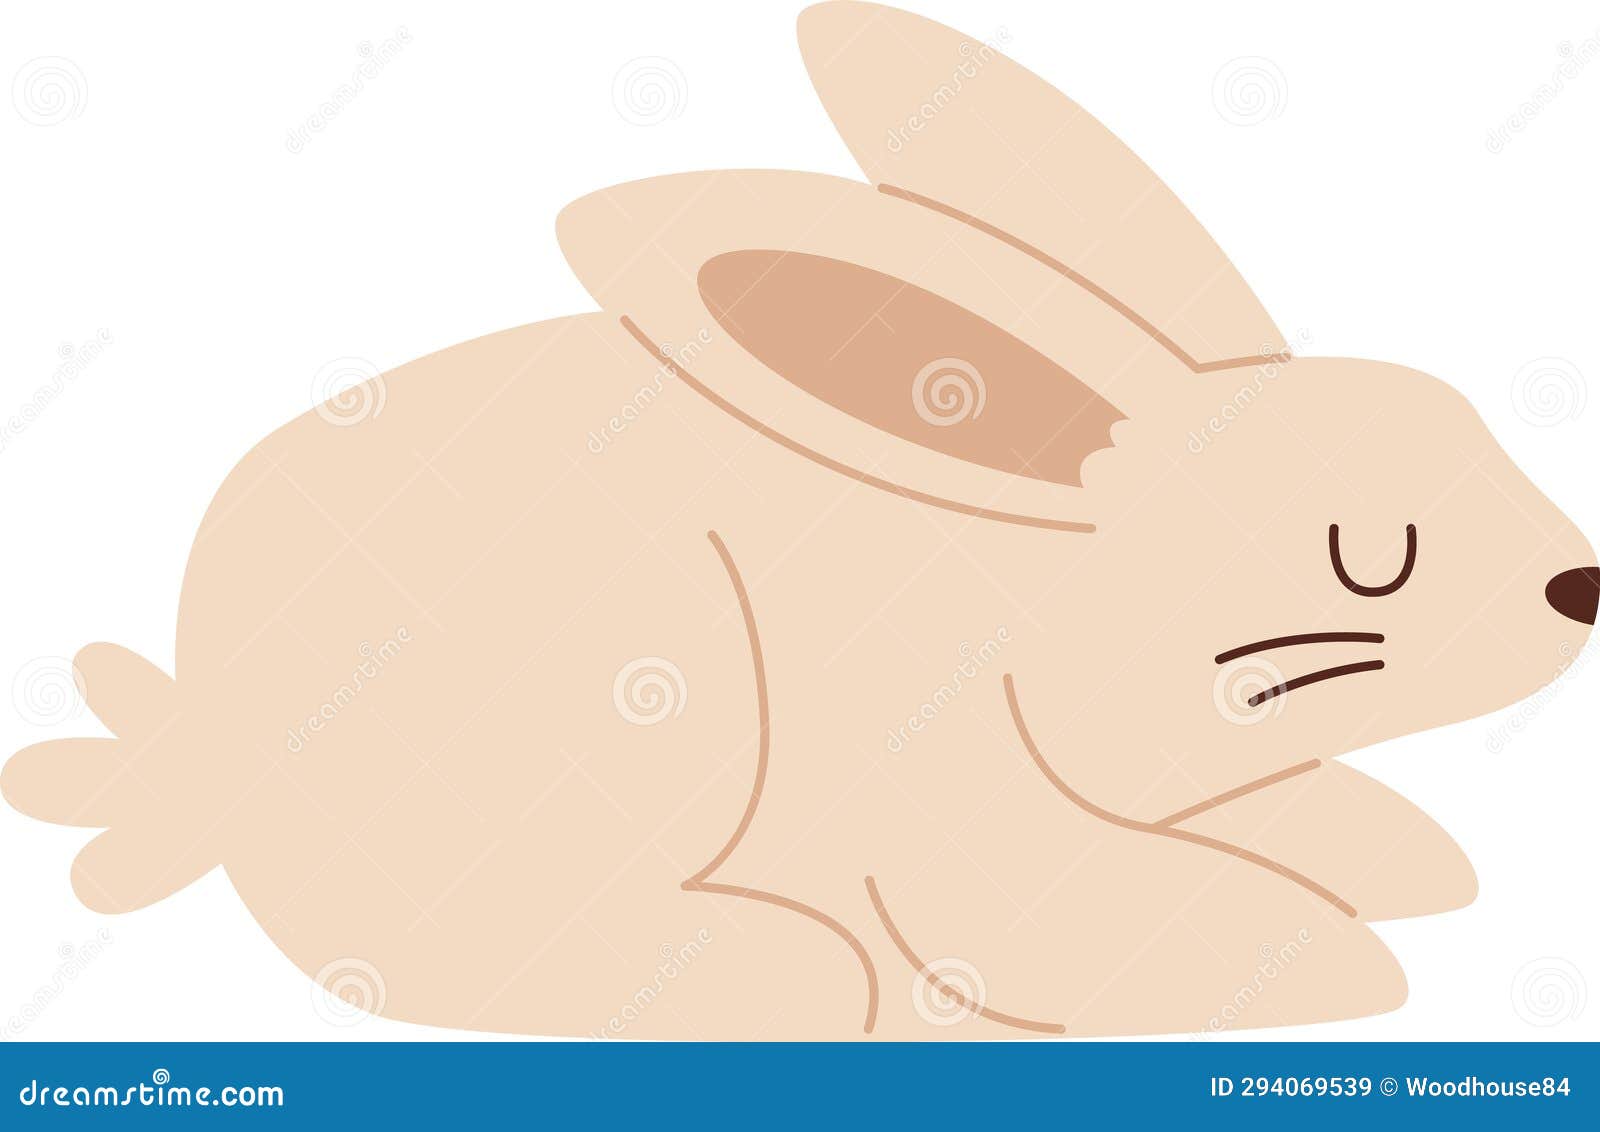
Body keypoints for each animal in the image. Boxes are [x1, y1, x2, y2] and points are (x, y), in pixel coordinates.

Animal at [4, 1, 1596, 1040]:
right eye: (1368, 554)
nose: (1579, 587)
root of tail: (203, 754)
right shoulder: (964, 814)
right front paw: (1329, 962)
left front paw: (1403, 855)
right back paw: (794, 980)